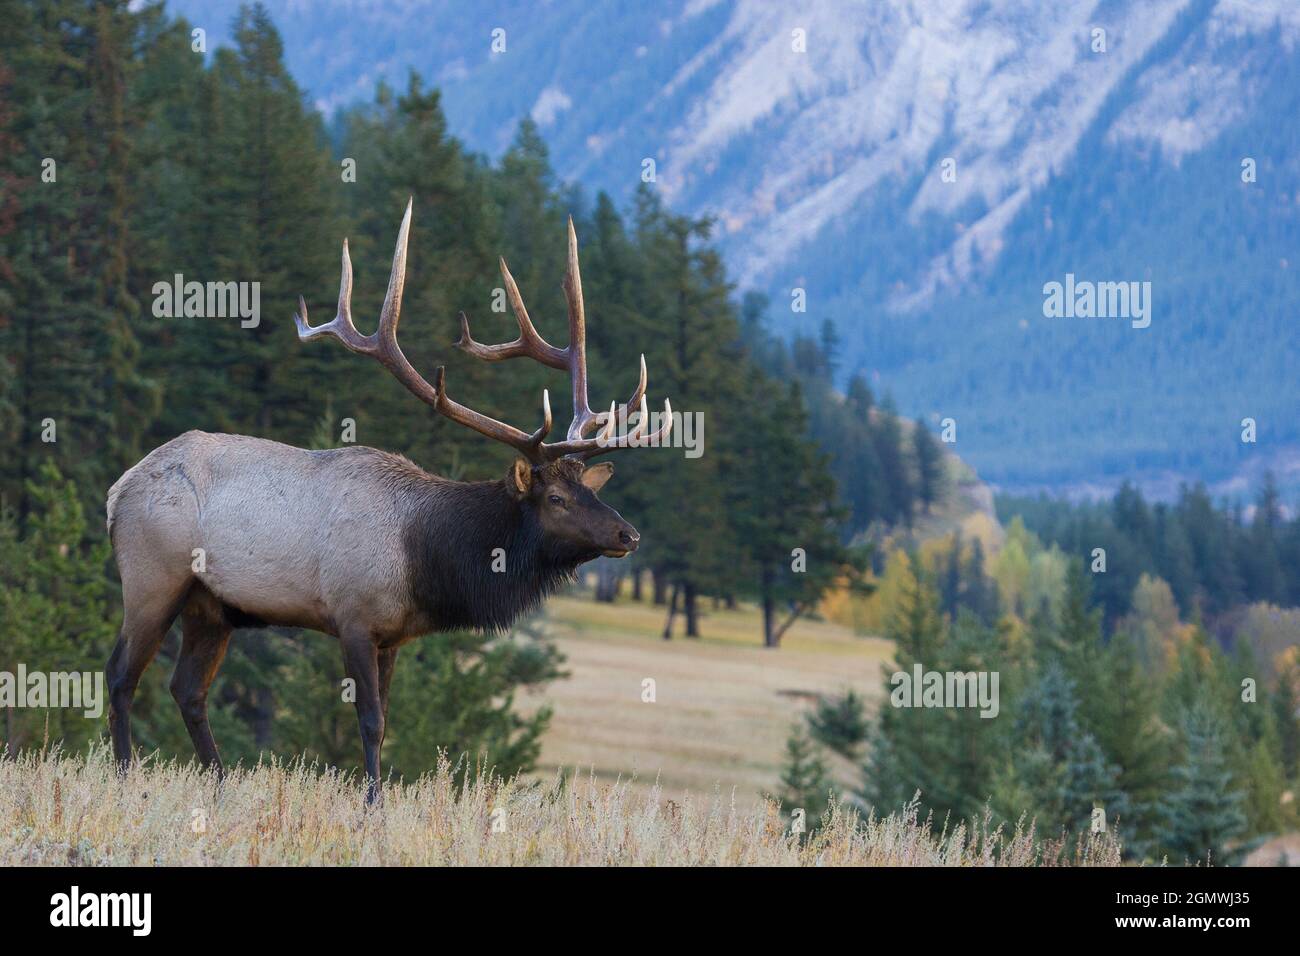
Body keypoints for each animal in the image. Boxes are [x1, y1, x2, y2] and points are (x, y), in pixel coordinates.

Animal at [105, 200, 671, 802]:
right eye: (558, 498)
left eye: (590, 489)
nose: (628, 534)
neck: (425, 560)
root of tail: (117, 491)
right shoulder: (353, 615)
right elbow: (371, 721)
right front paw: (371, 801)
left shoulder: (393, 635)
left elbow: (389, 719)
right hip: (153, 578)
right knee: (120, 675)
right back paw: (125, 776)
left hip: (212, 605)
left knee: (187, 689)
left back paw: (220, 783)